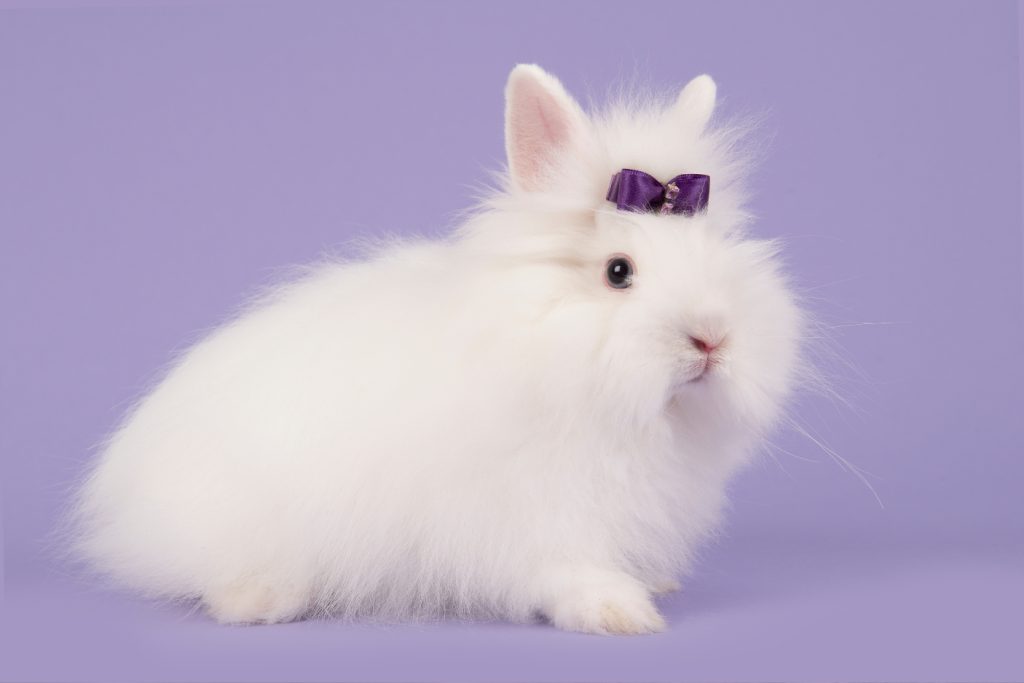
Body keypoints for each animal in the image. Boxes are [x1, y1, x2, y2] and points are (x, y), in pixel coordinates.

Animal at [68, 64, 804, 635]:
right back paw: (259, 600)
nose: (712, 338)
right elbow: (568, 567)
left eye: (718, 257)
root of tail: (127, 484)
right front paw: (619, 613)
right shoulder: (540, 512)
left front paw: (650, 587)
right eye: (618, 272)